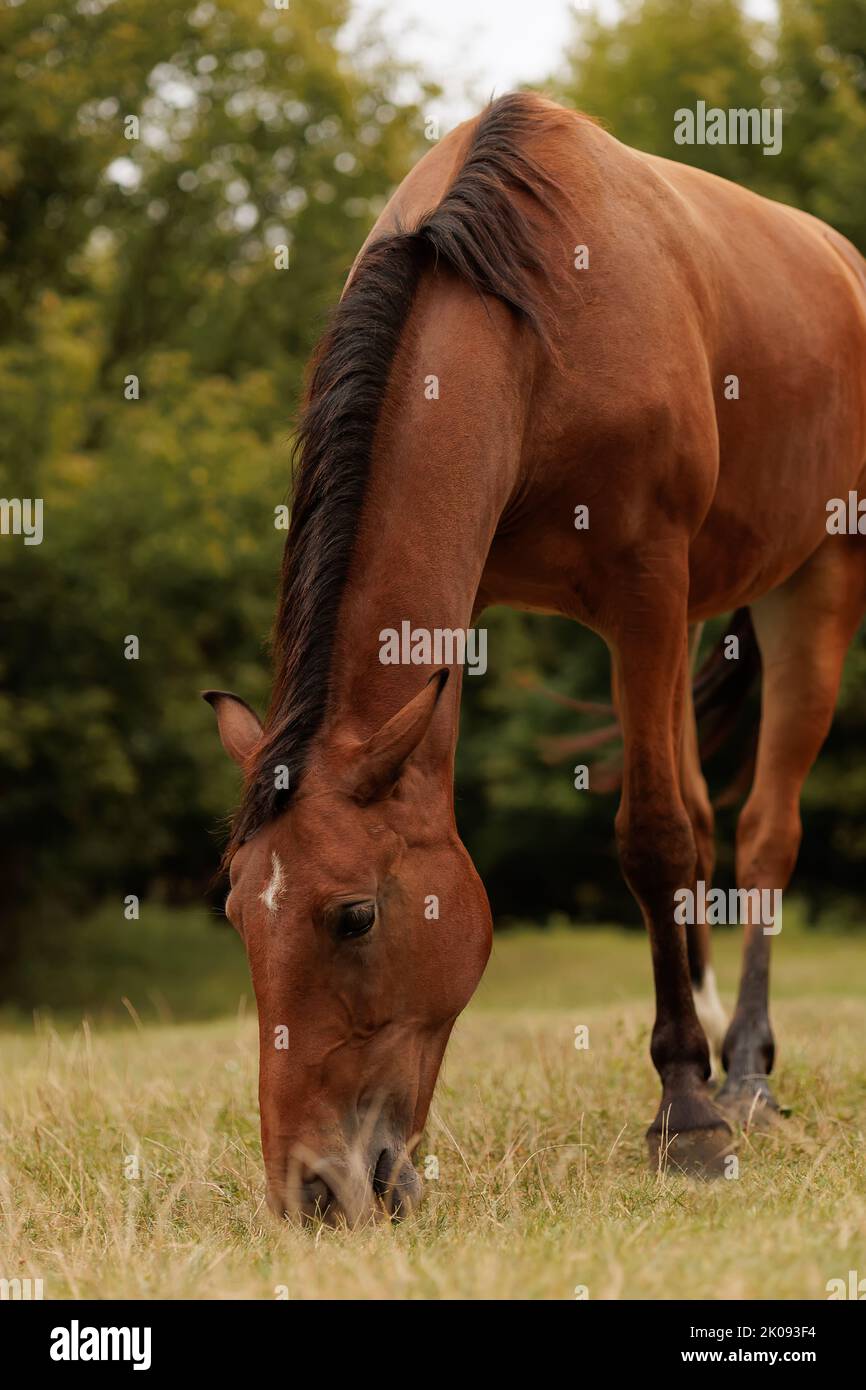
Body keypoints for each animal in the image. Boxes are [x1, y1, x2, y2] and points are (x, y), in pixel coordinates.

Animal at [205, 93, 866, 1222]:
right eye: (239, 916)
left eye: (353, 918)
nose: (314, 1192)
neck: (532, 320)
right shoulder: (494, 596)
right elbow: (670, 830)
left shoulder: (645, 583)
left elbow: (652, 839)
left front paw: (686, 1113)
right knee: (707, 815)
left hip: (811, 587)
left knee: (760, 834)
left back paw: (742, 1074)